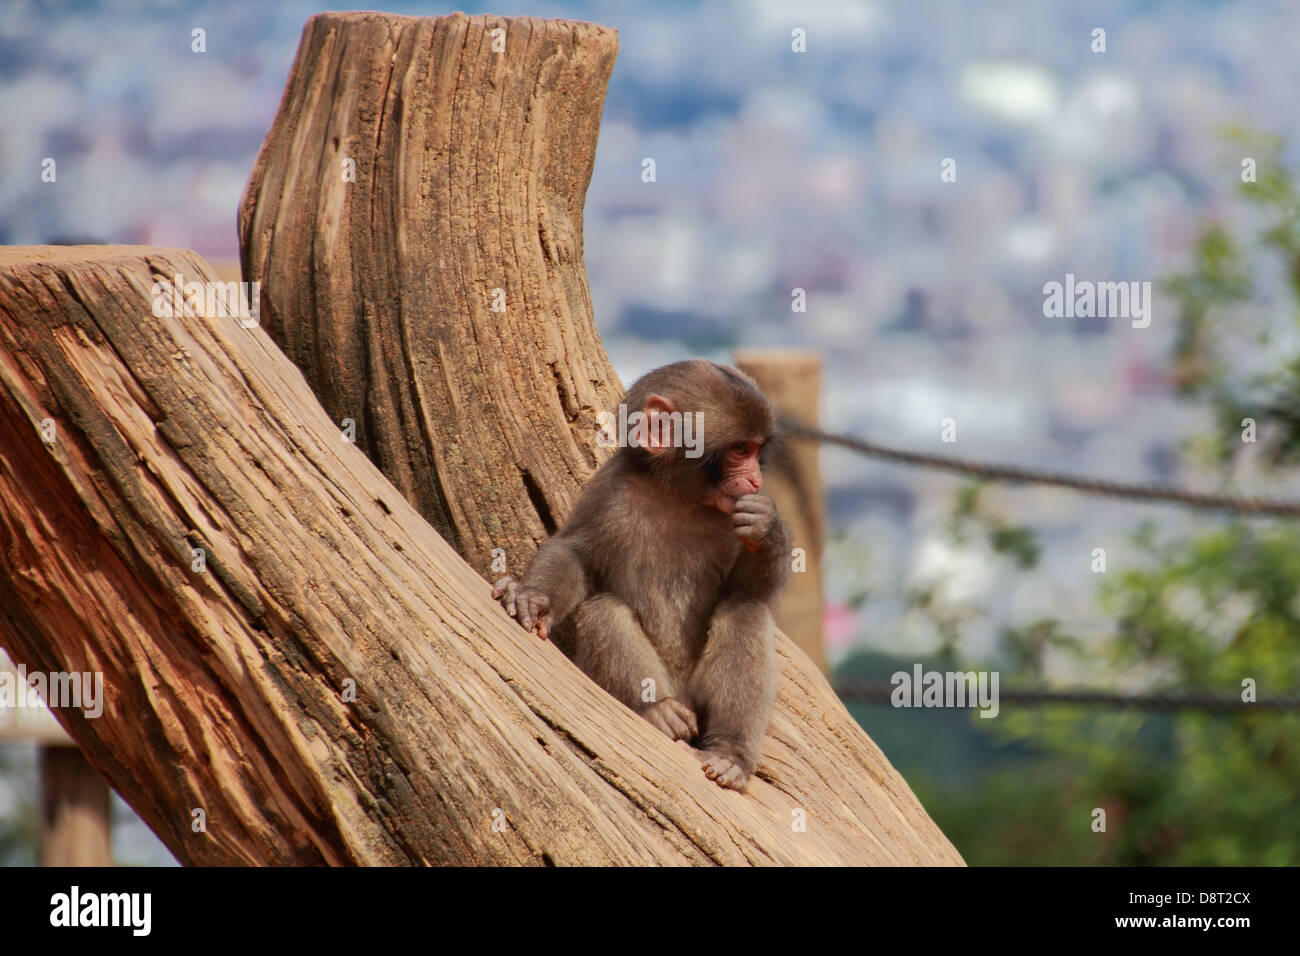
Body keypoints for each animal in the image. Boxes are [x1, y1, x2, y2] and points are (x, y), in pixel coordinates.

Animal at [492, 359, 790, 792]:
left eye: (756, 451)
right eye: (740, 450)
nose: (755, 480)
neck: (677, 495)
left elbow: (749, 589)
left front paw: (767, 528)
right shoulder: (609, 490)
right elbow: (575, 553)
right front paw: (532, 595)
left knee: (746, 612)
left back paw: (729, 753)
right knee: (602, 610)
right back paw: (656, 709)